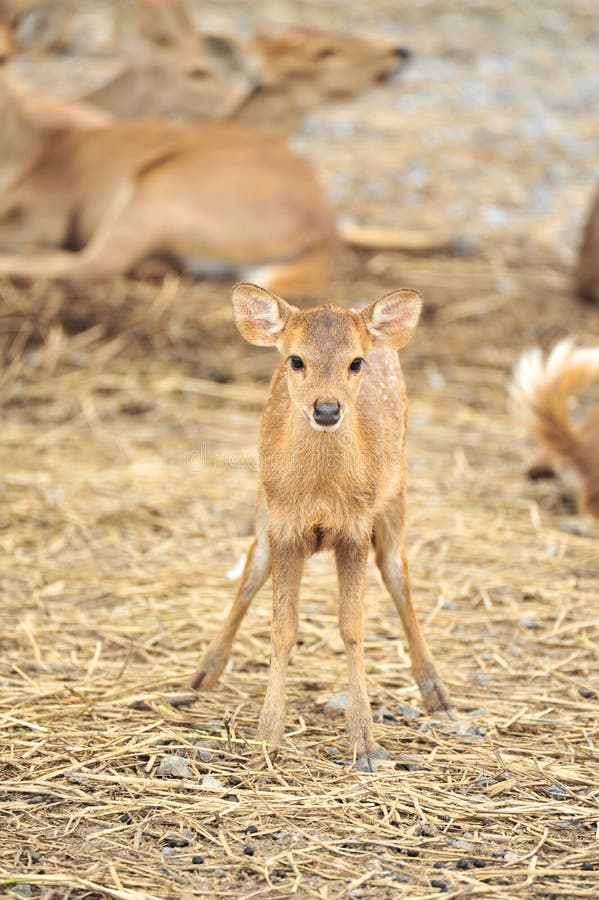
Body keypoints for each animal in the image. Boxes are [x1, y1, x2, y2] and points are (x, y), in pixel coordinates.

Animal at [190, 283, 455, 771]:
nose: (327, 409)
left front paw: (365, 744)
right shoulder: (284, 528)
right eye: (295, 359)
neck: (319, 496)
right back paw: (202, 675)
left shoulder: (355, 530)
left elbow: (352, 627)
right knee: (249, 572)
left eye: (356, 362)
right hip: (261, 510)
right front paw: (266, 738)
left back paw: (437, 694)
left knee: (400, 578)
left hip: (395, 502)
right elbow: (282, 627)